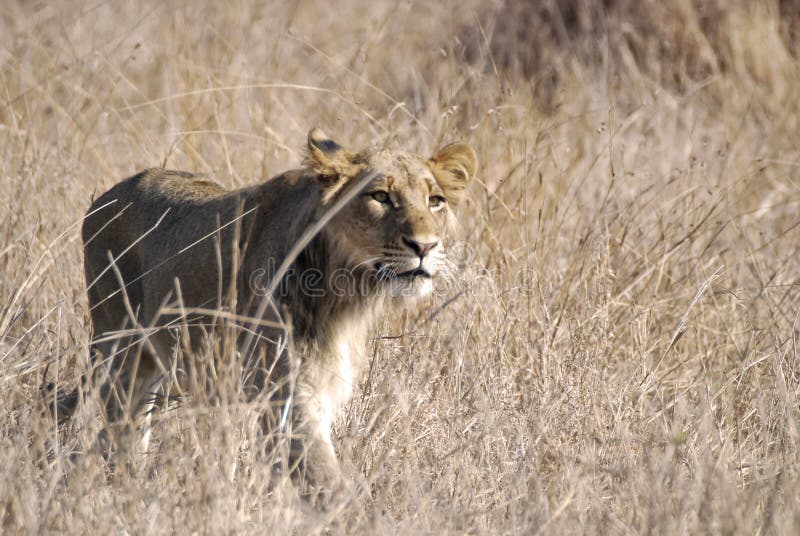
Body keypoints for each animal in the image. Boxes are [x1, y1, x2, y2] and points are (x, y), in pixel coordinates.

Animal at [50, 128, 476, 494]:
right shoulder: (286, 395)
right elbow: (326, 484)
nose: (425, 246)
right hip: (120, 349)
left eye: (435, 201)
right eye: (381, 197)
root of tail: (106, 196)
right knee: (117, 428)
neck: (344, 293)